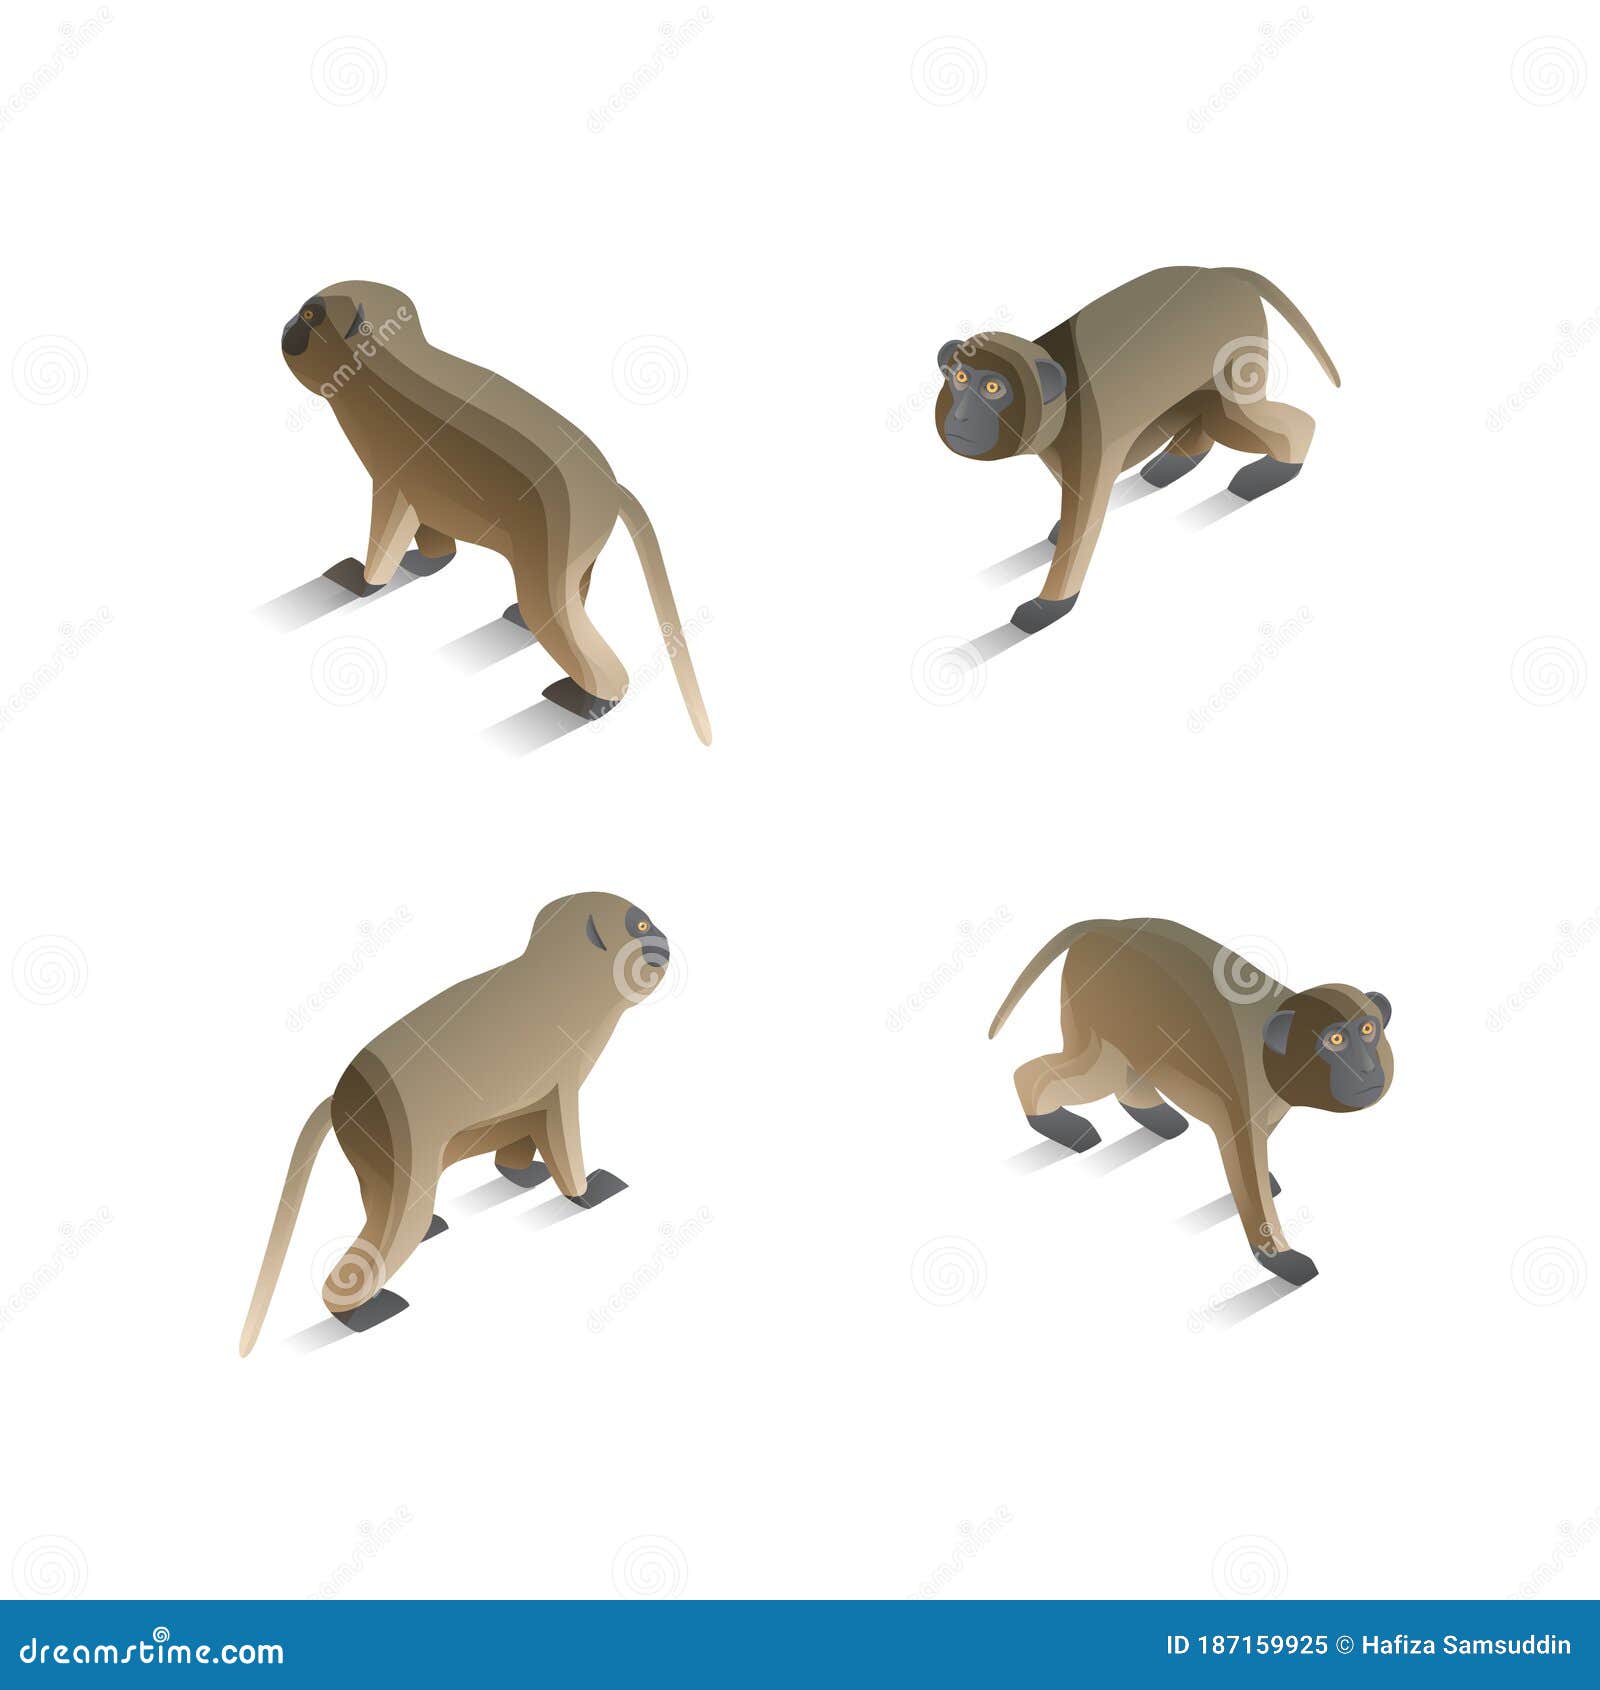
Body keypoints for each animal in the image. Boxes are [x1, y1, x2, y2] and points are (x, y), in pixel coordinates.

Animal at [239, 893, 672, 1355]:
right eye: (641, 926)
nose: (663, 940)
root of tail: (343, 1095)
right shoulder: (562, 1067)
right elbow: (558, 1125)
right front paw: (585, 1190)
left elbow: (526, 1121)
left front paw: (518, 1171)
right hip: (404, 1137)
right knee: (403, 1216)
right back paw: (355, 1311)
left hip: (367, 1142)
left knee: (381, 1195)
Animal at [281, 283, 711, 743]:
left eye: (311, 315)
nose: (288, 327)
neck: (378, 380)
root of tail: (609, 488)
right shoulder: (421, 479)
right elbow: (430, 528)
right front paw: (429, 560)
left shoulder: (394, 466)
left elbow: (390, 523)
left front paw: (363, 581)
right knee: (569, 592)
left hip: (558, 532)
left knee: (550, 608)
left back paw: (591, 699)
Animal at [934, 266, 1340, 634]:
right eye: (961, 378)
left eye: (993, 388)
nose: (961, 417)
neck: (1060, 391)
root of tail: (1222, 271)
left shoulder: (1091, 443)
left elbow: (1083, 522)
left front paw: (1048, 605)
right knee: (1207, 419)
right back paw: (1178, 460)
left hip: (1235, 368)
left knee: (1258, 419)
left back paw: (1274, 468)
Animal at [988, 918, 1392, 1286]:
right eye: (1334, 1040)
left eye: (1367, 1030)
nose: (1368, 1069)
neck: (1270, 1052)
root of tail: (1106, 925)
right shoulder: (1243, 1102)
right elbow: (1247, 1171)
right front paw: (1279, 1256)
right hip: (1099, 1016)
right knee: (1067, 1072)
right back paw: (1052, 1119)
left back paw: (1149, 1111)